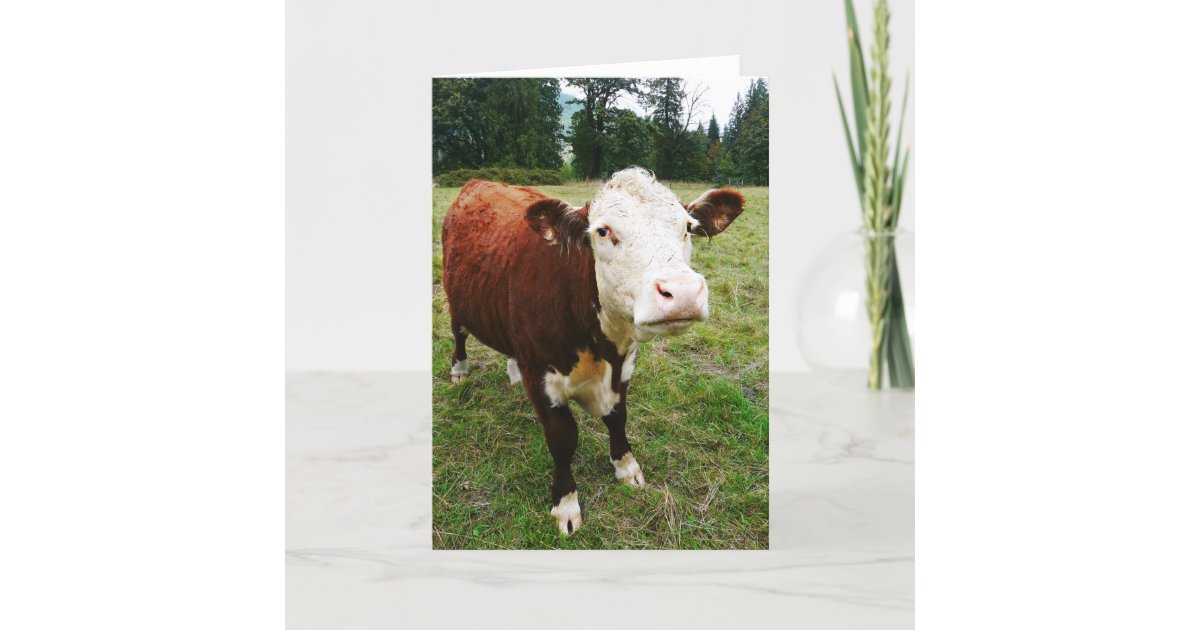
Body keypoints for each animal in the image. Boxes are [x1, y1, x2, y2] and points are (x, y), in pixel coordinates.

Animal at [440, 167, 745, 535]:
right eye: (603, 231)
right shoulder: (541, 377)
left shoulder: (623, 369)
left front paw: (627, 467)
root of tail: (477, 183)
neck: (601, 347)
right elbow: (563, 440)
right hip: (456, 299)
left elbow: (618, 418)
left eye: (687, 227)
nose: (682, 293)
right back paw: (459, 370)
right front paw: (566, 504)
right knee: (458, 333)